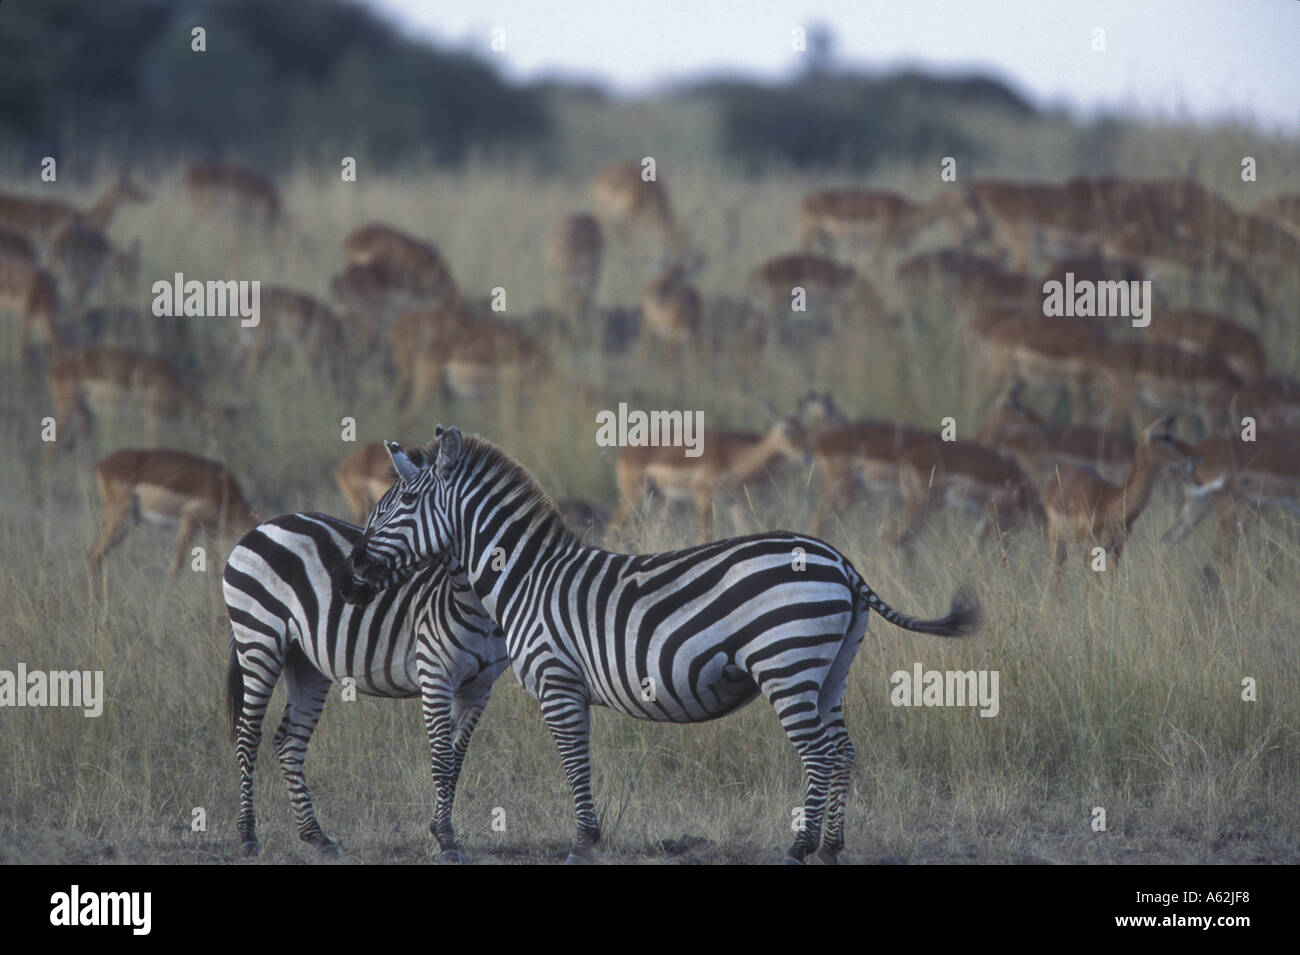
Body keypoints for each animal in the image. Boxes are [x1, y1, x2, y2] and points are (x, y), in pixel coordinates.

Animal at [87, 448, 259, 582]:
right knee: (93, 554)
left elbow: (214, 570)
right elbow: (176, 568)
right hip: (118, 518)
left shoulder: (210, 530)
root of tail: (101, 464)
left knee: (97, 554)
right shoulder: (189, 521)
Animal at [223, 464, 508, 862]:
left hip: (304, 660)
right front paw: (446, 840)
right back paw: (249, 835)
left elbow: (455, 758)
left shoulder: (481, 686)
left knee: (289, 740)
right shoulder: (436, 673)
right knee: (249, 734)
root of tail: (263, 526)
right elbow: (443, 758)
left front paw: (441, 831)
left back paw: (317, 837)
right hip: (259, 637)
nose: (354, 581)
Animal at [349, 427, 979, 864]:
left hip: (787, 664)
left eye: (400, 506)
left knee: (820, 753)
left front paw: (583, 844)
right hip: (831, 670)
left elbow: (573, 762)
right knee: (843, 751)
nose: (353, 565)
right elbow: (573, 762)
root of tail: (841, 561)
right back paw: (830, 847)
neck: (528, 576)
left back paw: (799, 848)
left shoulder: (558, 681)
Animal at [607, 408, 810, 541]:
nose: (805, 455)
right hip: (634, 495)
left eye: (805, 430)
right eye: (786, 430)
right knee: (612, 528)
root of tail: (625, 450)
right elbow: (705, 536)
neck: (734, 455)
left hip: (660, 498)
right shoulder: (703, 496)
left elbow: (745, 530)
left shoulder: (735, 501)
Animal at [1042, 417, 1197, 573]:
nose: (1190, 457)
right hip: (1057, 538)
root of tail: (1054, 478)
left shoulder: (1117, 549)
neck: (1111, 503)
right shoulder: (1093, 547)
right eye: (1164, 438)